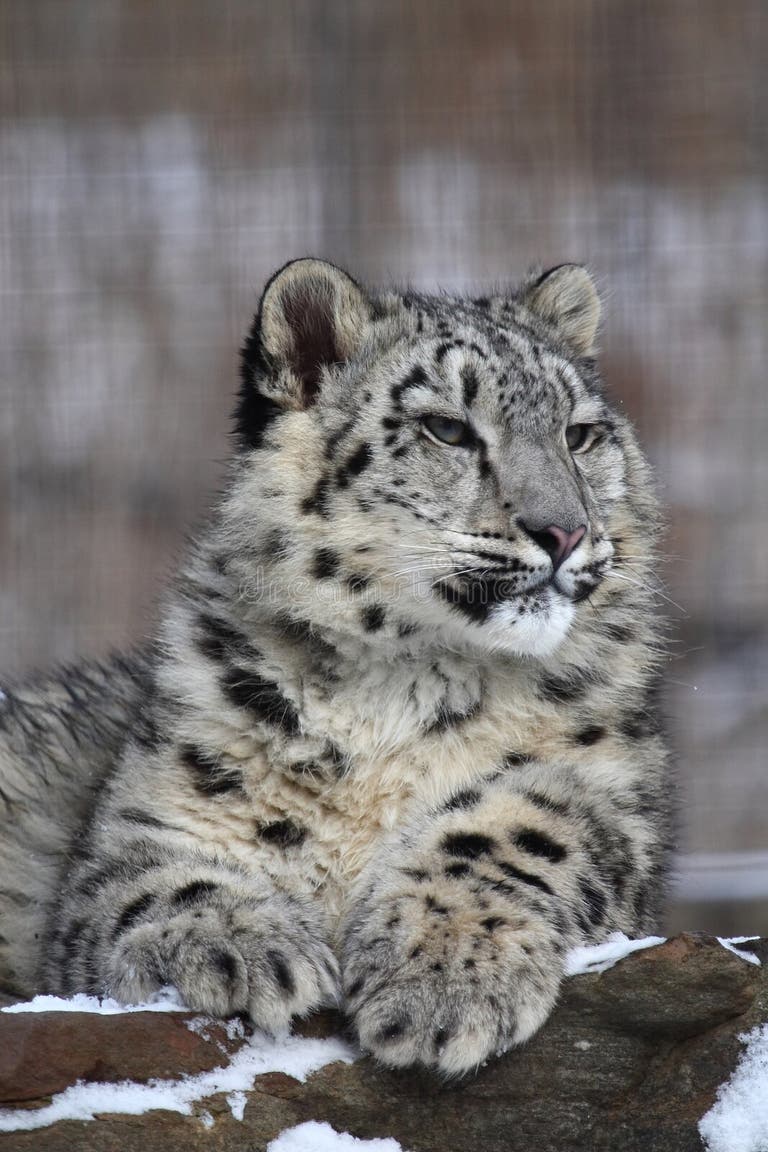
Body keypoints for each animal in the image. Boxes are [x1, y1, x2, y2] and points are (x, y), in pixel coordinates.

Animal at [0, 258, 672, 1075]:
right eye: (447, 428)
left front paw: (443, 980)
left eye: (580, 434)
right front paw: (240, 947)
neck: (403, 687)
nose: (565, 531)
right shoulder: (150, 816)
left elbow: (516, 828)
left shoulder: (609, 789)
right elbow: (149, 881)